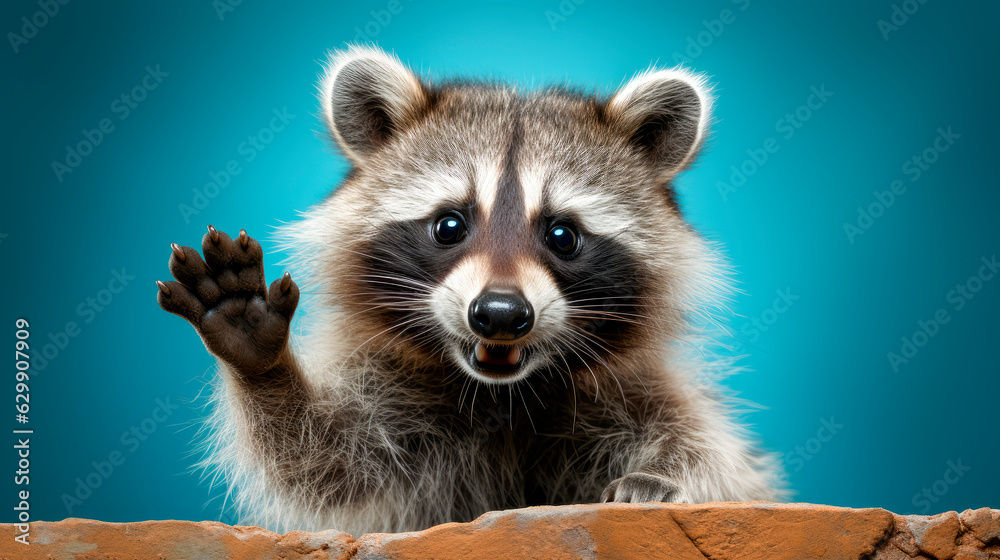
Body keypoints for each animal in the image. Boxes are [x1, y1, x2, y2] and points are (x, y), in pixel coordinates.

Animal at [156, 45, 783, 536]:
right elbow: (324, 460)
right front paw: (262, 362)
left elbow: (718, 461)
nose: (501, 313)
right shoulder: (396, 399)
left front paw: (670, 478)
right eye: (449, 226)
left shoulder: (634, 389)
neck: (502, 395)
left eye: (563, 235)